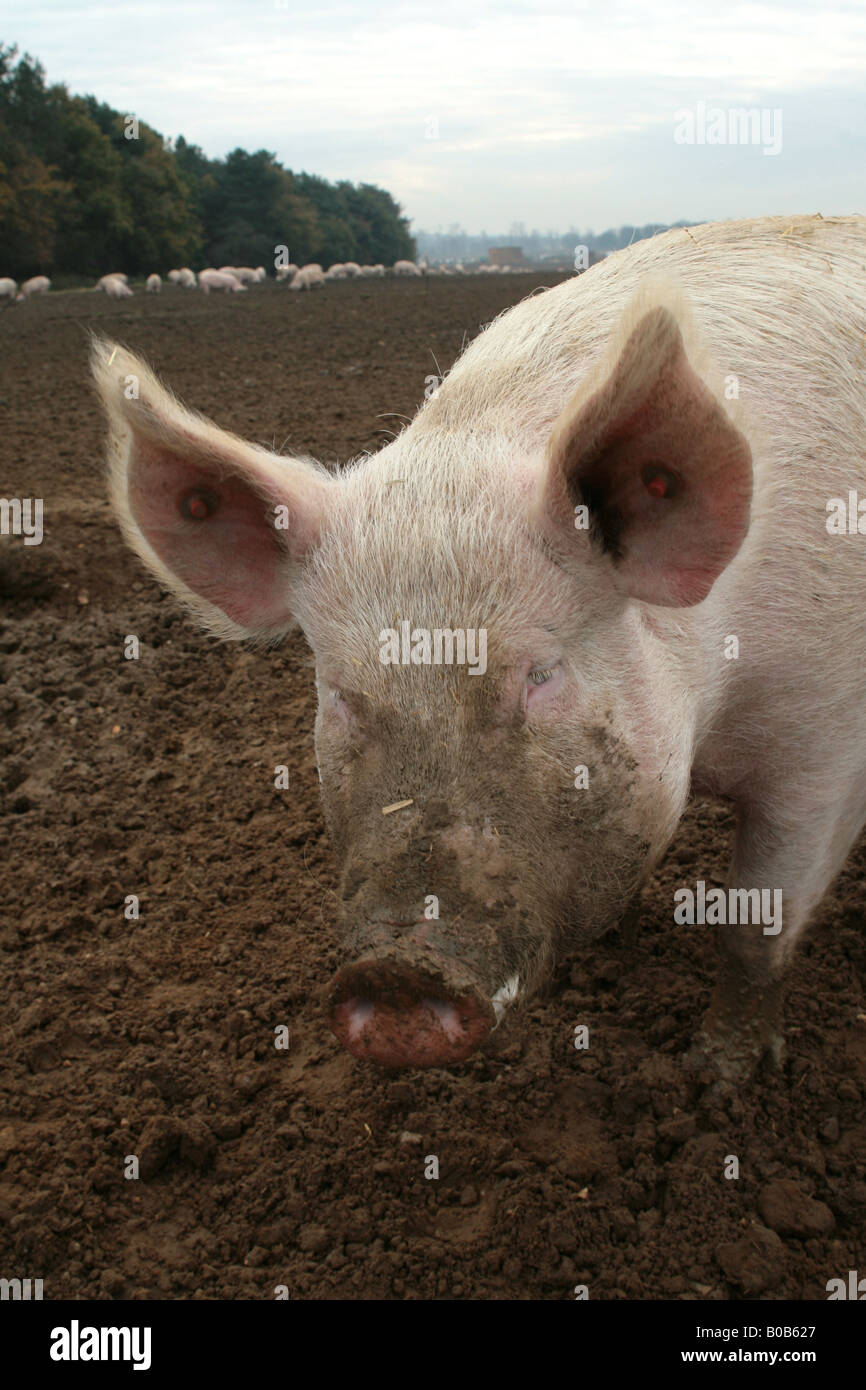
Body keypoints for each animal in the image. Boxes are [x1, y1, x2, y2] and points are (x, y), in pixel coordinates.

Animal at [91, 214, 866, 1078]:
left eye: (542, 674)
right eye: (340, 693)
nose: (398, 972)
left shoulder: (826, 742)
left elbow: (756, 928)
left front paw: (718, 1080)